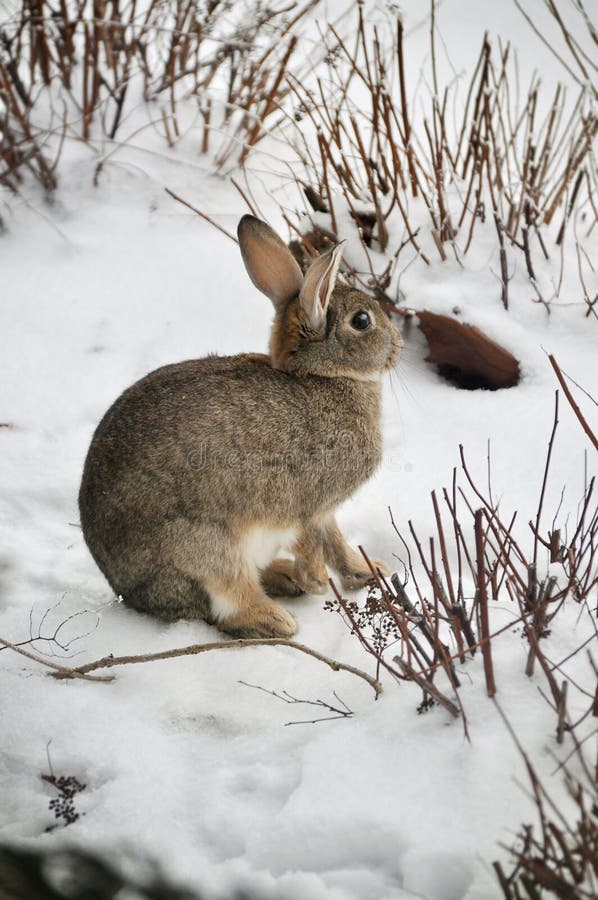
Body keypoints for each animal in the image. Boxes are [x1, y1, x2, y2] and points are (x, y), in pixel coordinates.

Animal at [79, 216, 402, 639]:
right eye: (362, 321)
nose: (397, 345)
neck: (322, 378)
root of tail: (131, 593)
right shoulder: (305, 505)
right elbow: (314, 542)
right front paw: (317, 581)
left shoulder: (325, 512)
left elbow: (337, 543)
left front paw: (369, 571)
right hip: (206, 547)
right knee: (229, 605)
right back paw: (275, 616)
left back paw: (284, 578)